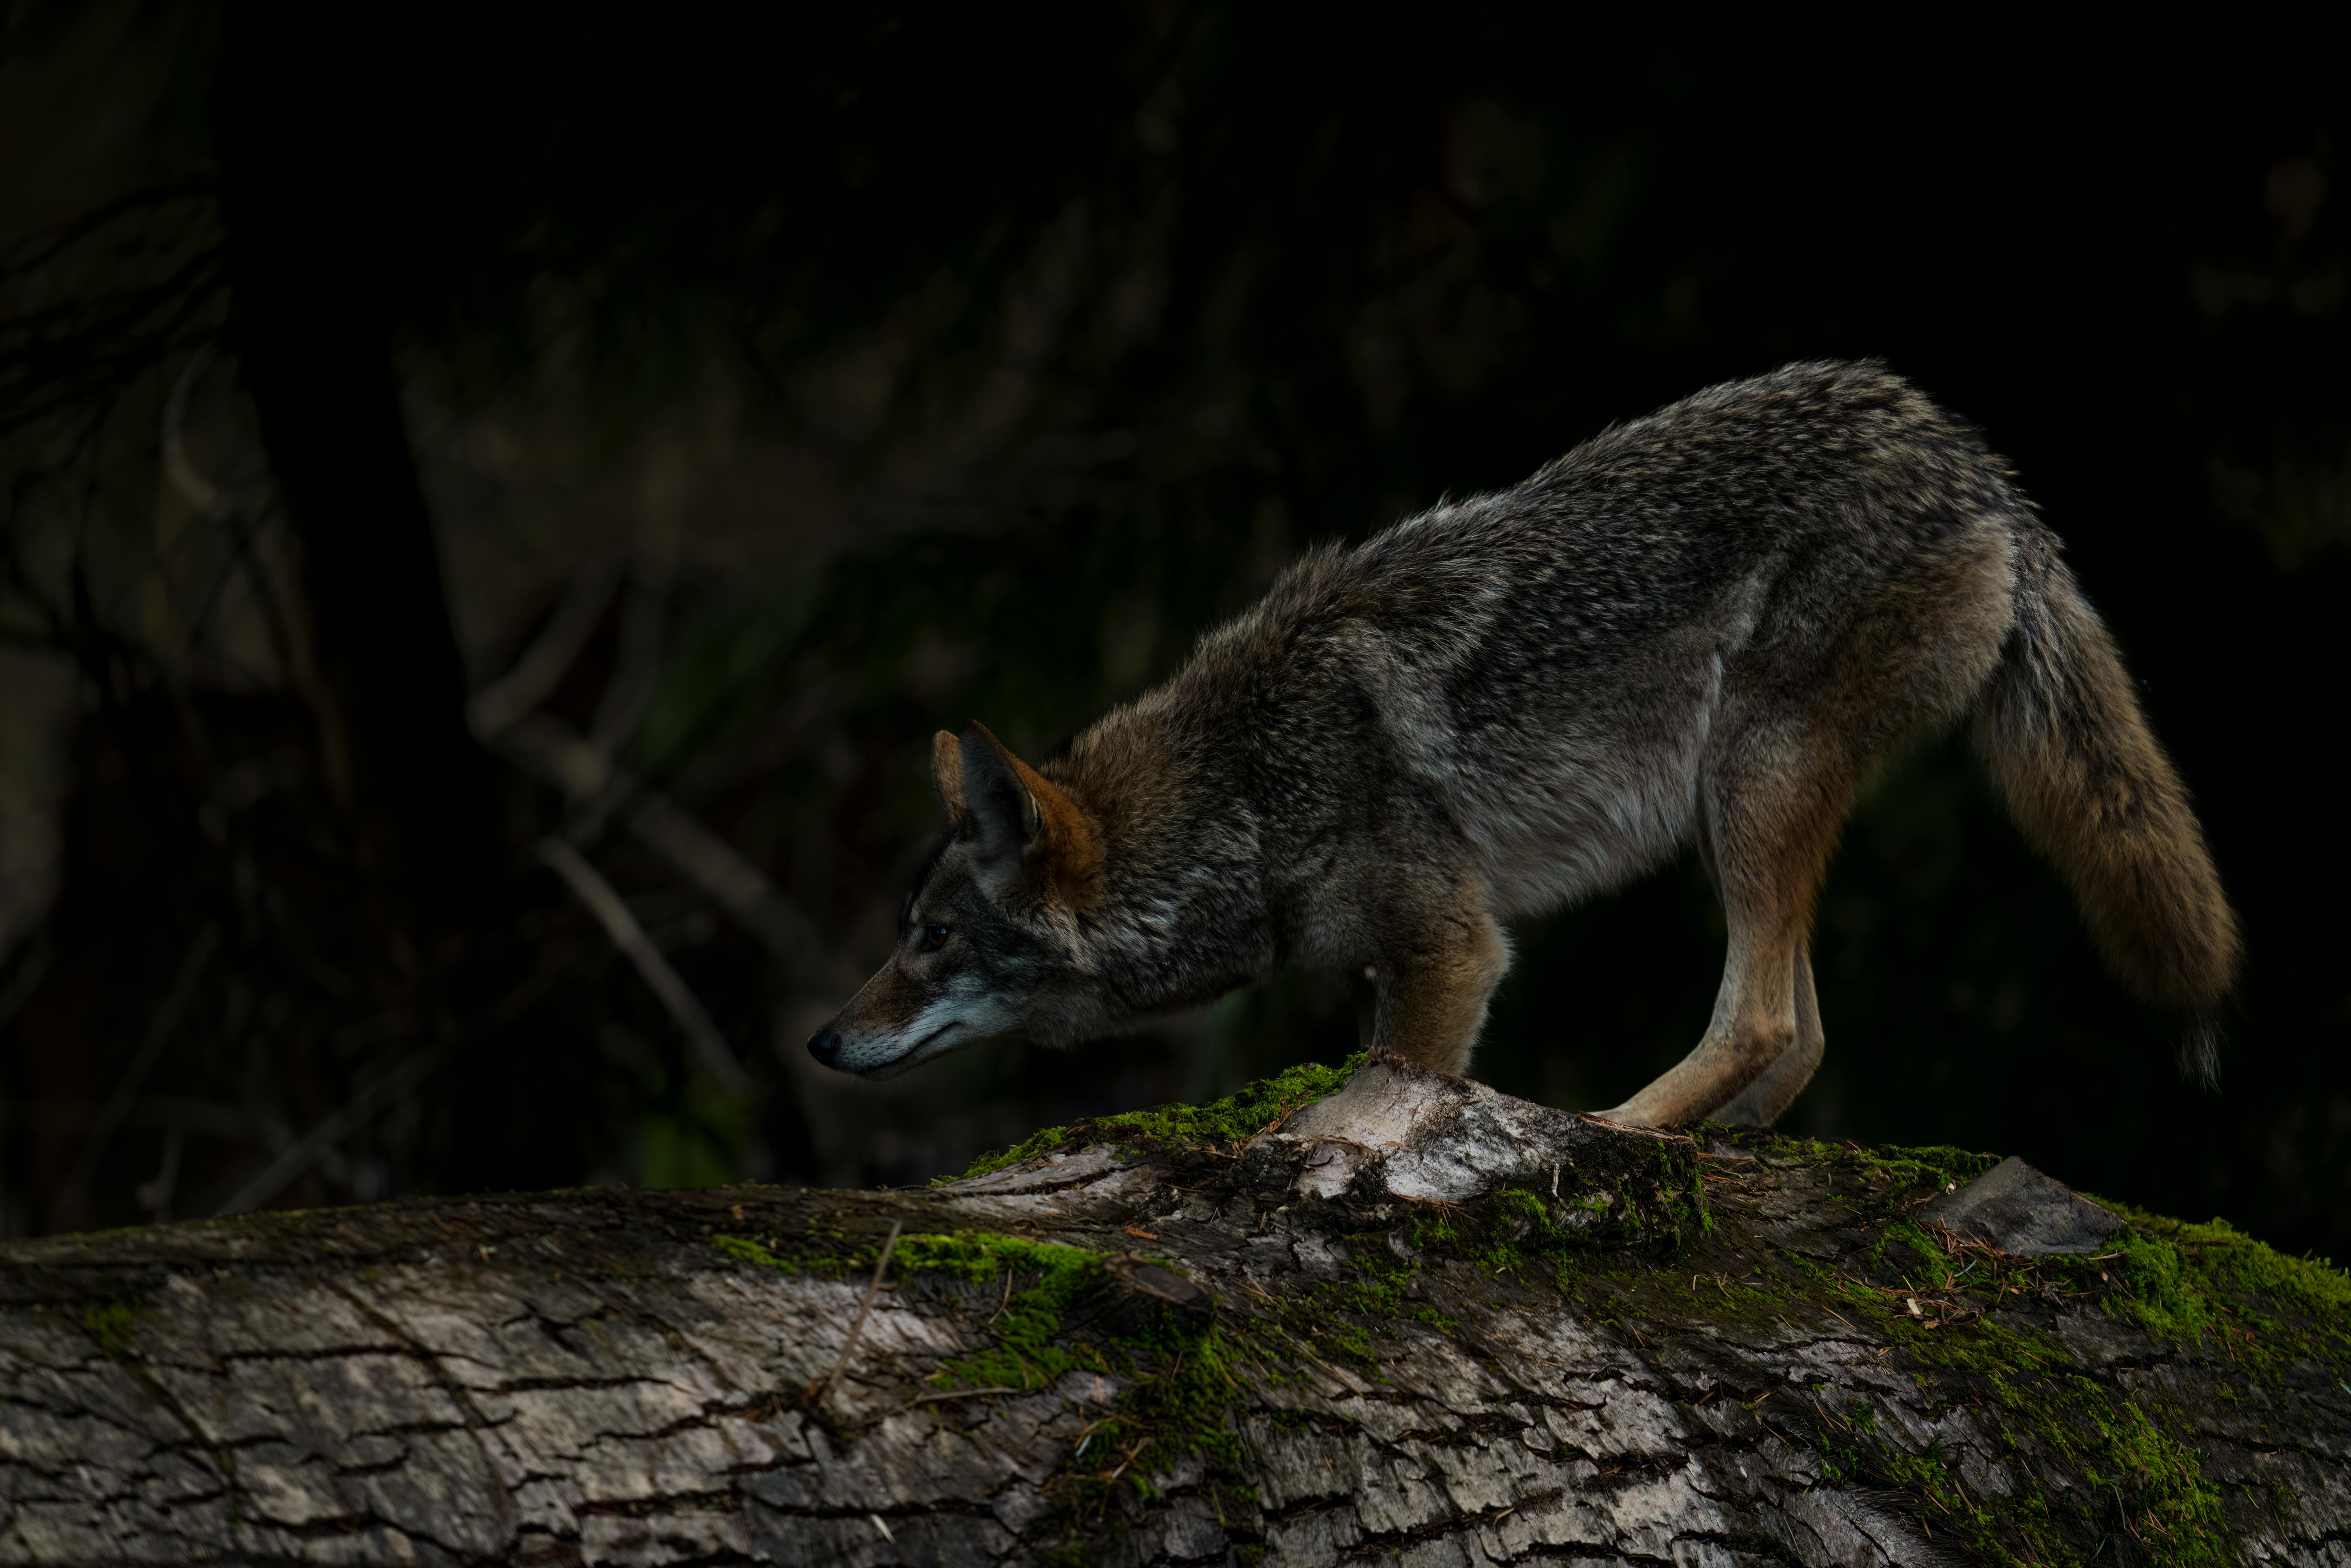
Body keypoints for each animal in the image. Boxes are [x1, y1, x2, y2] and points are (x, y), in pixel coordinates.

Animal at [807, 360, 2239, 1127]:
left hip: (1748, 779)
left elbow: (1396, 1084)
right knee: (1806, 1037)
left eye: (930, 938)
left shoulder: (1450, 953)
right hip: (1742, 807)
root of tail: (1977, 465)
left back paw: (1620, 1132)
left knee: (1766, 1022)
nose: (819, 1042)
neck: (1242, 793)